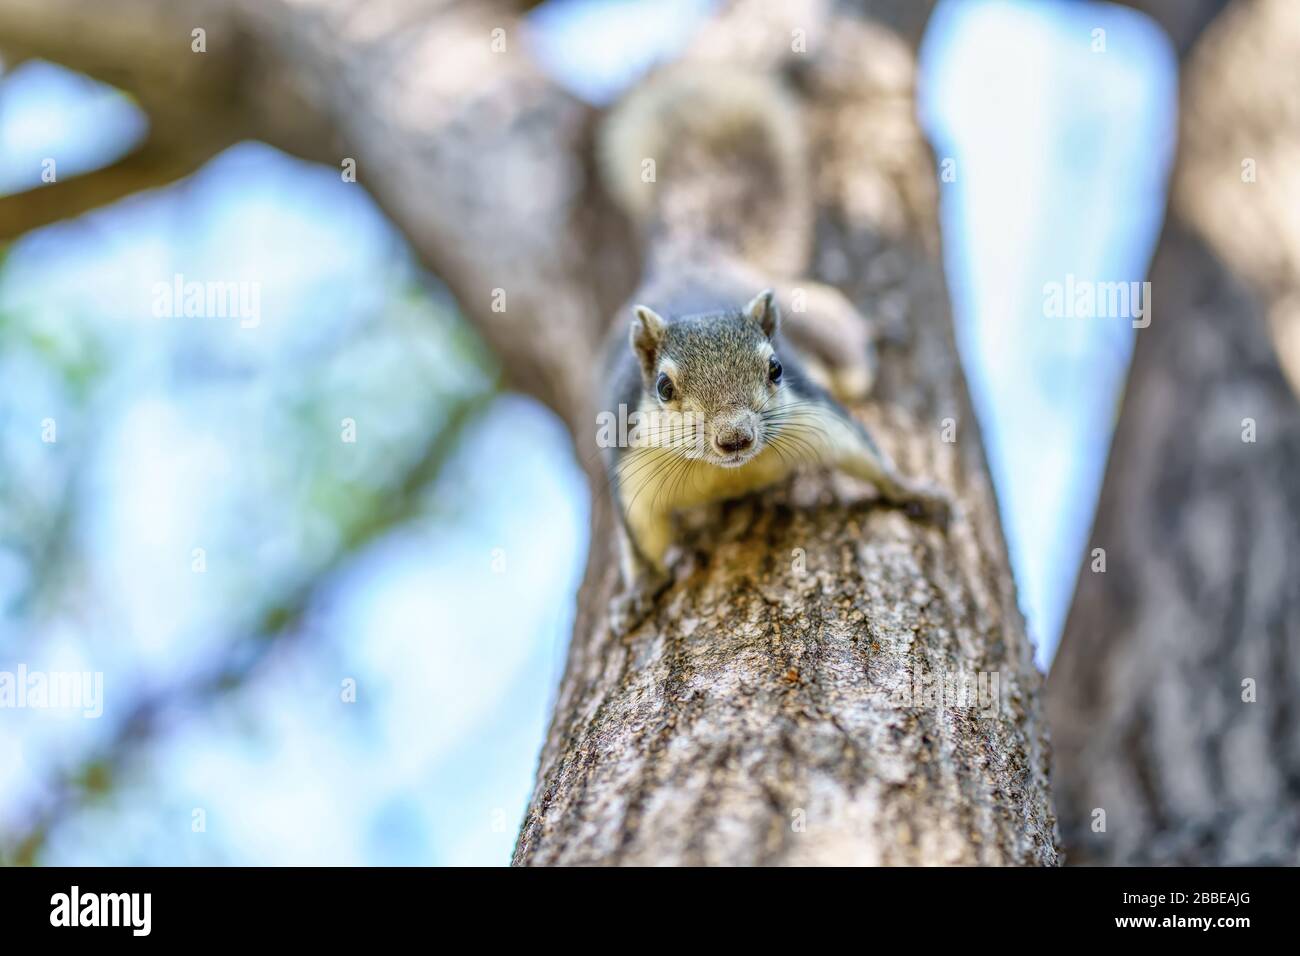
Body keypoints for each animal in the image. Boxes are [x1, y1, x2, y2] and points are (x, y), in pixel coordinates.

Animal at [596, 66, 951, 634]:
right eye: (663, 388)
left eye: (777, 368)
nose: (735, 439)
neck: (722, 474)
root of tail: (696, 265)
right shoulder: (632, 464)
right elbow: (641, 539)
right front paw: (638, 592)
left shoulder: (815, 412)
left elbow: (865, 455)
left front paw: (910, 490)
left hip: (827, 337)